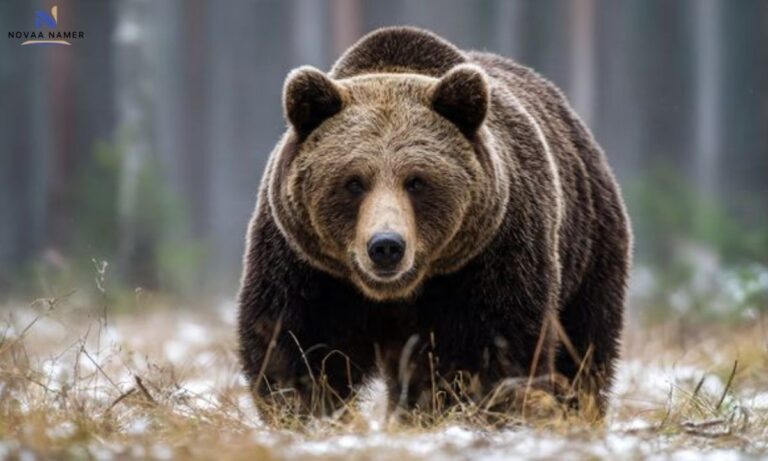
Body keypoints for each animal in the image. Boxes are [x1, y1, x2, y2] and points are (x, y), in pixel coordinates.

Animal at [238, 26, 631, 420]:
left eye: (416, 181)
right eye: (353, 182)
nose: (386, 246)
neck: (394, 294)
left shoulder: (491, 257)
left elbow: (487, 350)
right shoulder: (306, 265)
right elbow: (297, 344)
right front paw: (310, 410)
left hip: (589, 246)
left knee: (583, 347)